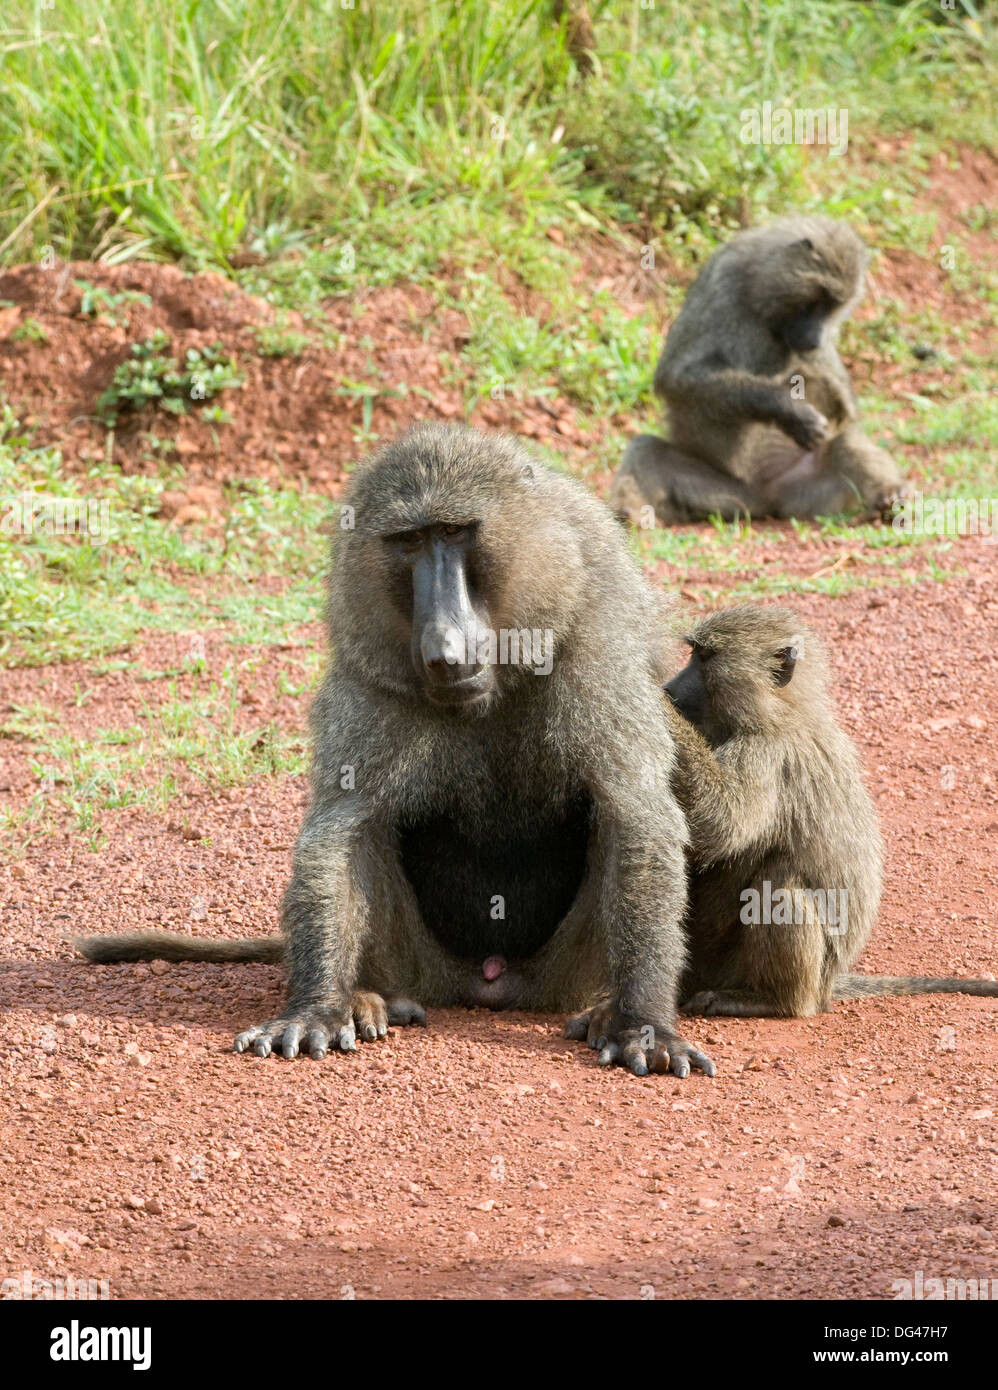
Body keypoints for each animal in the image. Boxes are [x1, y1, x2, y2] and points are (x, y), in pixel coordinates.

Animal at [76, 423, 714, 1079]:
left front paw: (642, 1025)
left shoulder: (596, 645)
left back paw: (604, 1011)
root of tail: (487, 984)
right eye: (409, 541)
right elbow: (343, 828)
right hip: (419, 964)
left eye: (455, 533)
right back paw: (364, 999)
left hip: (562, 974)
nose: (444, 647)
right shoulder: (369, 674)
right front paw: (317, 1010)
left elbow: (633, 814)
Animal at [609, 216, 906, 525]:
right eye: (817, 300)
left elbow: (844, 408)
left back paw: (888, 498)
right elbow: (677, 377)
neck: (759, 294)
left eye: (834, 306)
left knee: (844, 441)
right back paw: (628, 516)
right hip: (724, 494)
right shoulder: (720, 287)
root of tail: (768, 498)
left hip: (811, 492)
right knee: (644, 448)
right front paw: (792, 411)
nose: (814, 340)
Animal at [660, 604, 997, 1017]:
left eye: (704, 657)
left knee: (780, 883)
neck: (779, 710)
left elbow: (720, 824)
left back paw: (768, 999)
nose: (670, 688)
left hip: (746, 969)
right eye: (694, 652)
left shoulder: (770, 752)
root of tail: (827, 986)